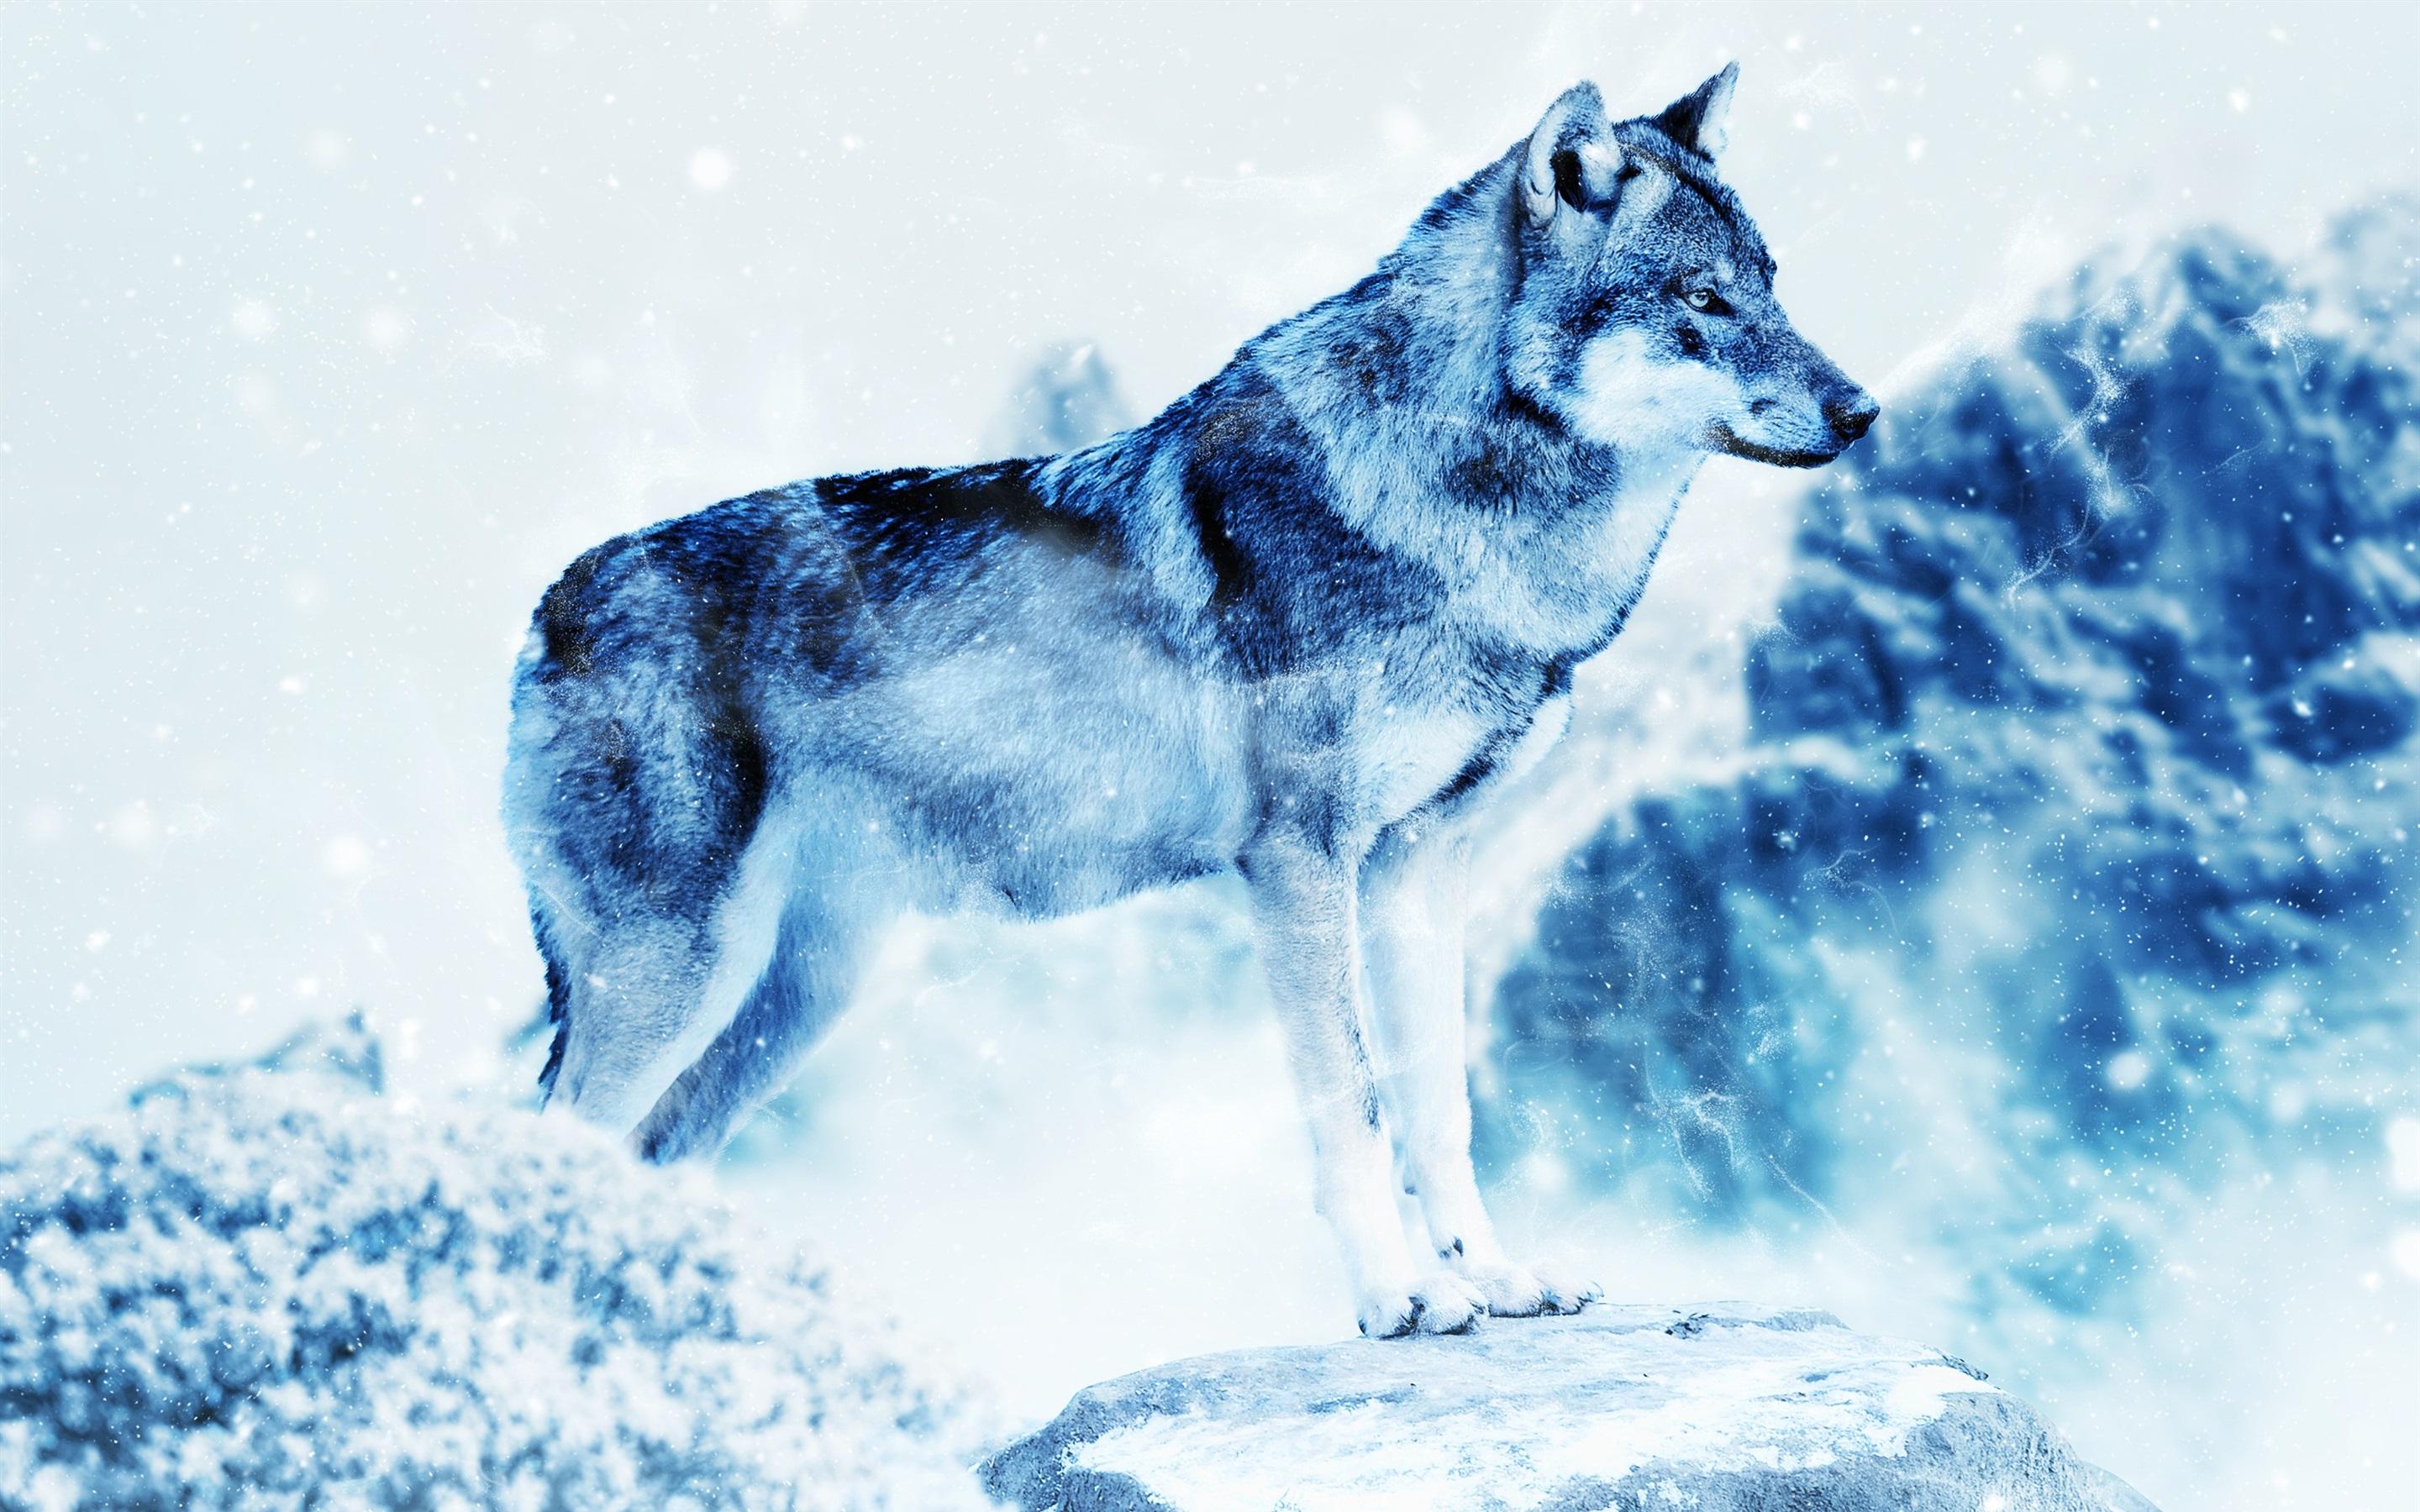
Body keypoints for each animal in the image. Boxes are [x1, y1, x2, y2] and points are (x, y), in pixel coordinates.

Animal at [504, 65, 1875, 1338]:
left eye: (1772, 284)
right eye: (1701, 301)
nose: (1863, 410)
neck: (1452, 516)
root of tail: (544, 609)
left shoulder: (1422, 862)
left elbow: (1440, 1105)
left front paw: (1496, 1280)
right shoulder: (1302, 860)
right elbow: (1354, 1103)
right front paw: (1399, 1300)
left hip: (798, 994)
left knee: (651, 1154)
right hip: (680, 974)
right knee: (551, 1144)